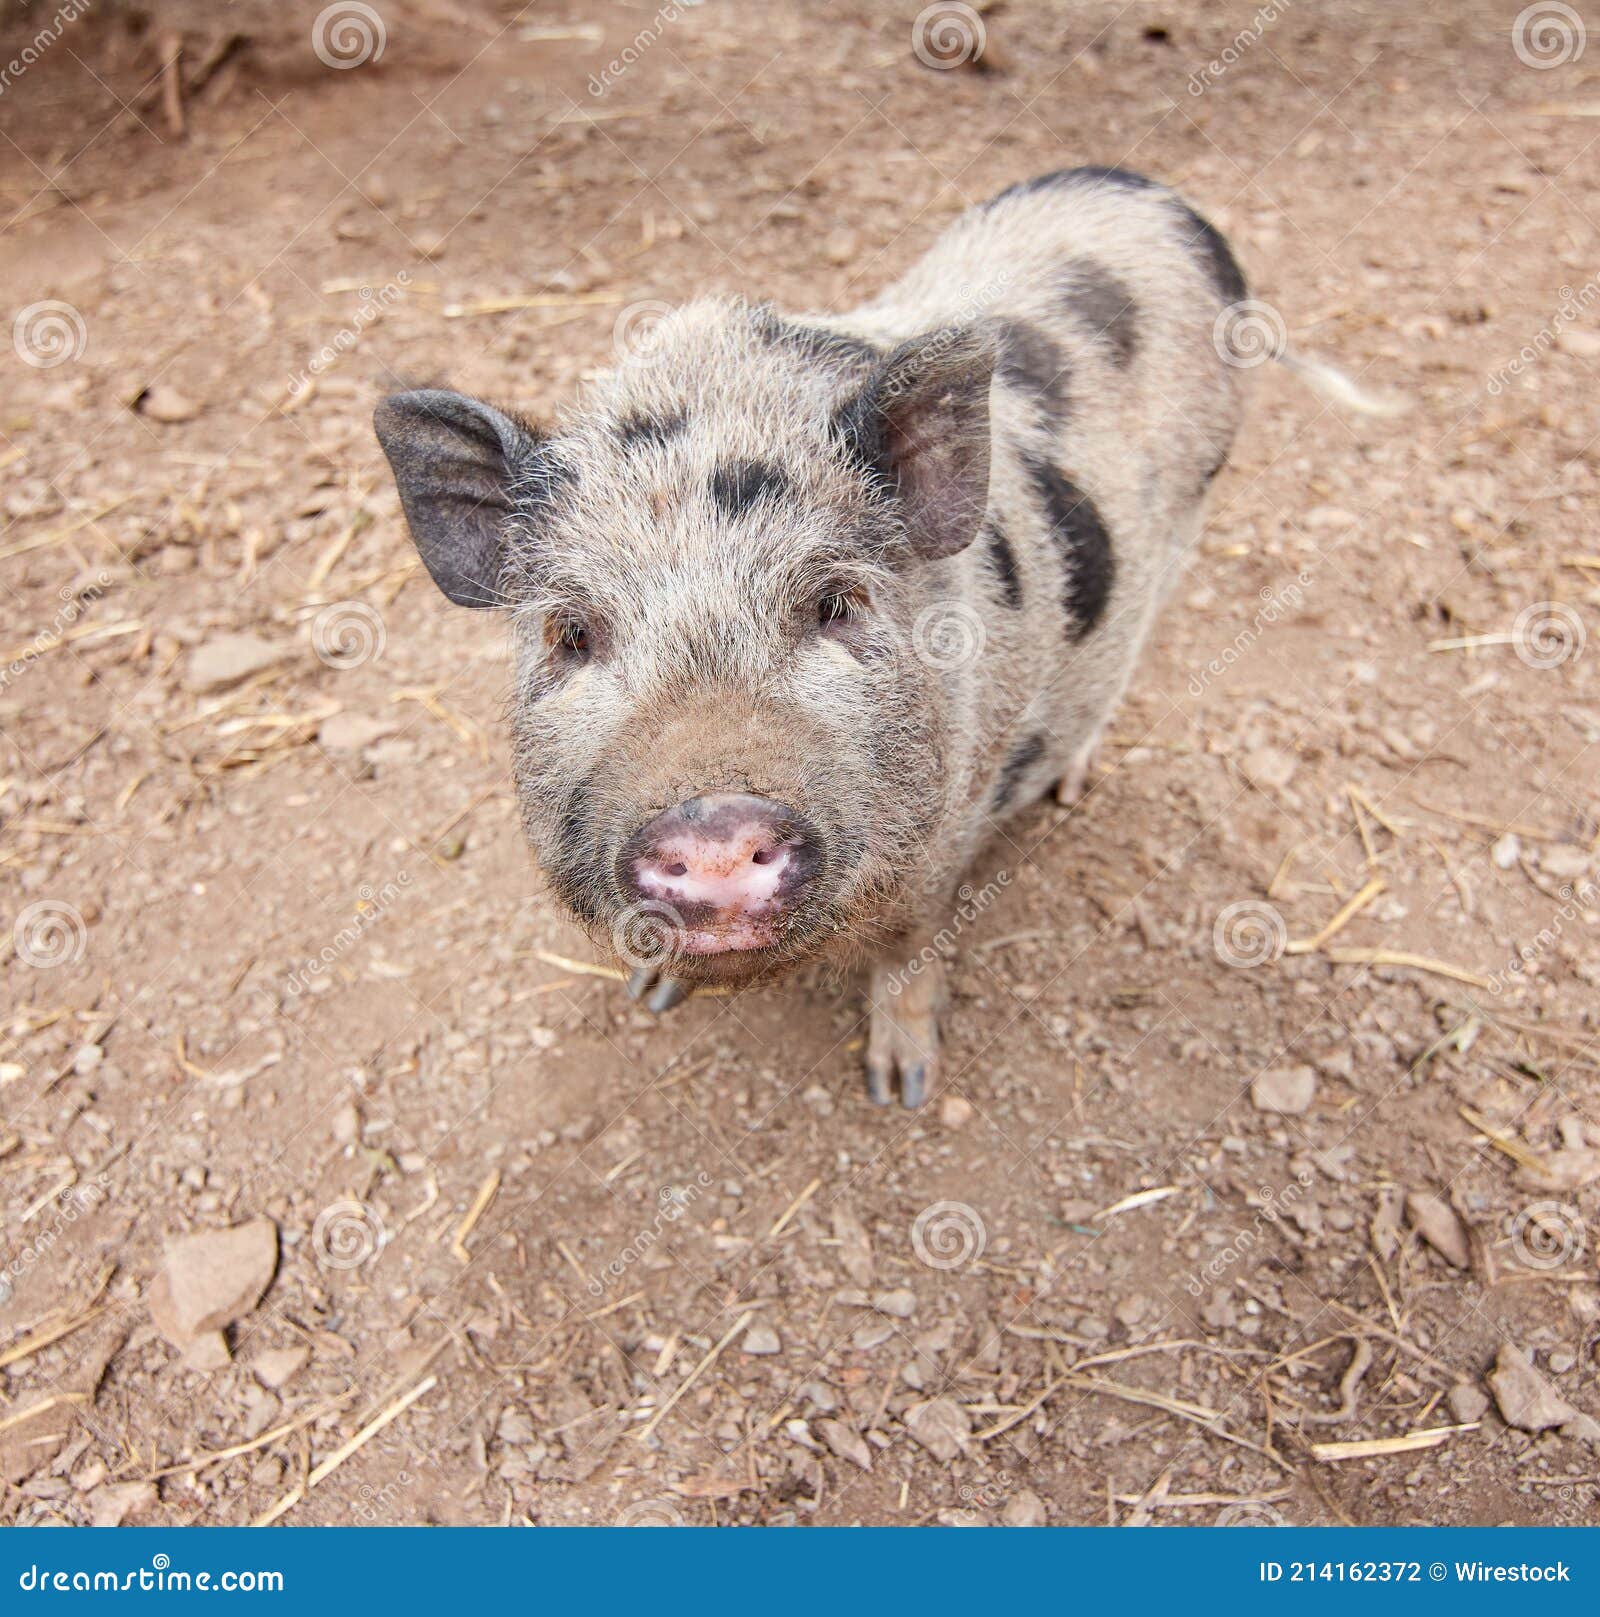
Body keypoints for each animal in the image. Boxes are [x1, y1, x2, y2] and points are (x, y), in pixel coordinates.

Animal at [374, 165, 1386, 1107]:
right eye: (574, 632)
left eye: (834, 604)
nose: (711, 826)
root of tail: (1156, 194)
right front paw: (650, 995)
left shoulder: (953, 822)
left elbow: (912, 946)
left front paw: (902, 1087)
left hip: (1195, 508)